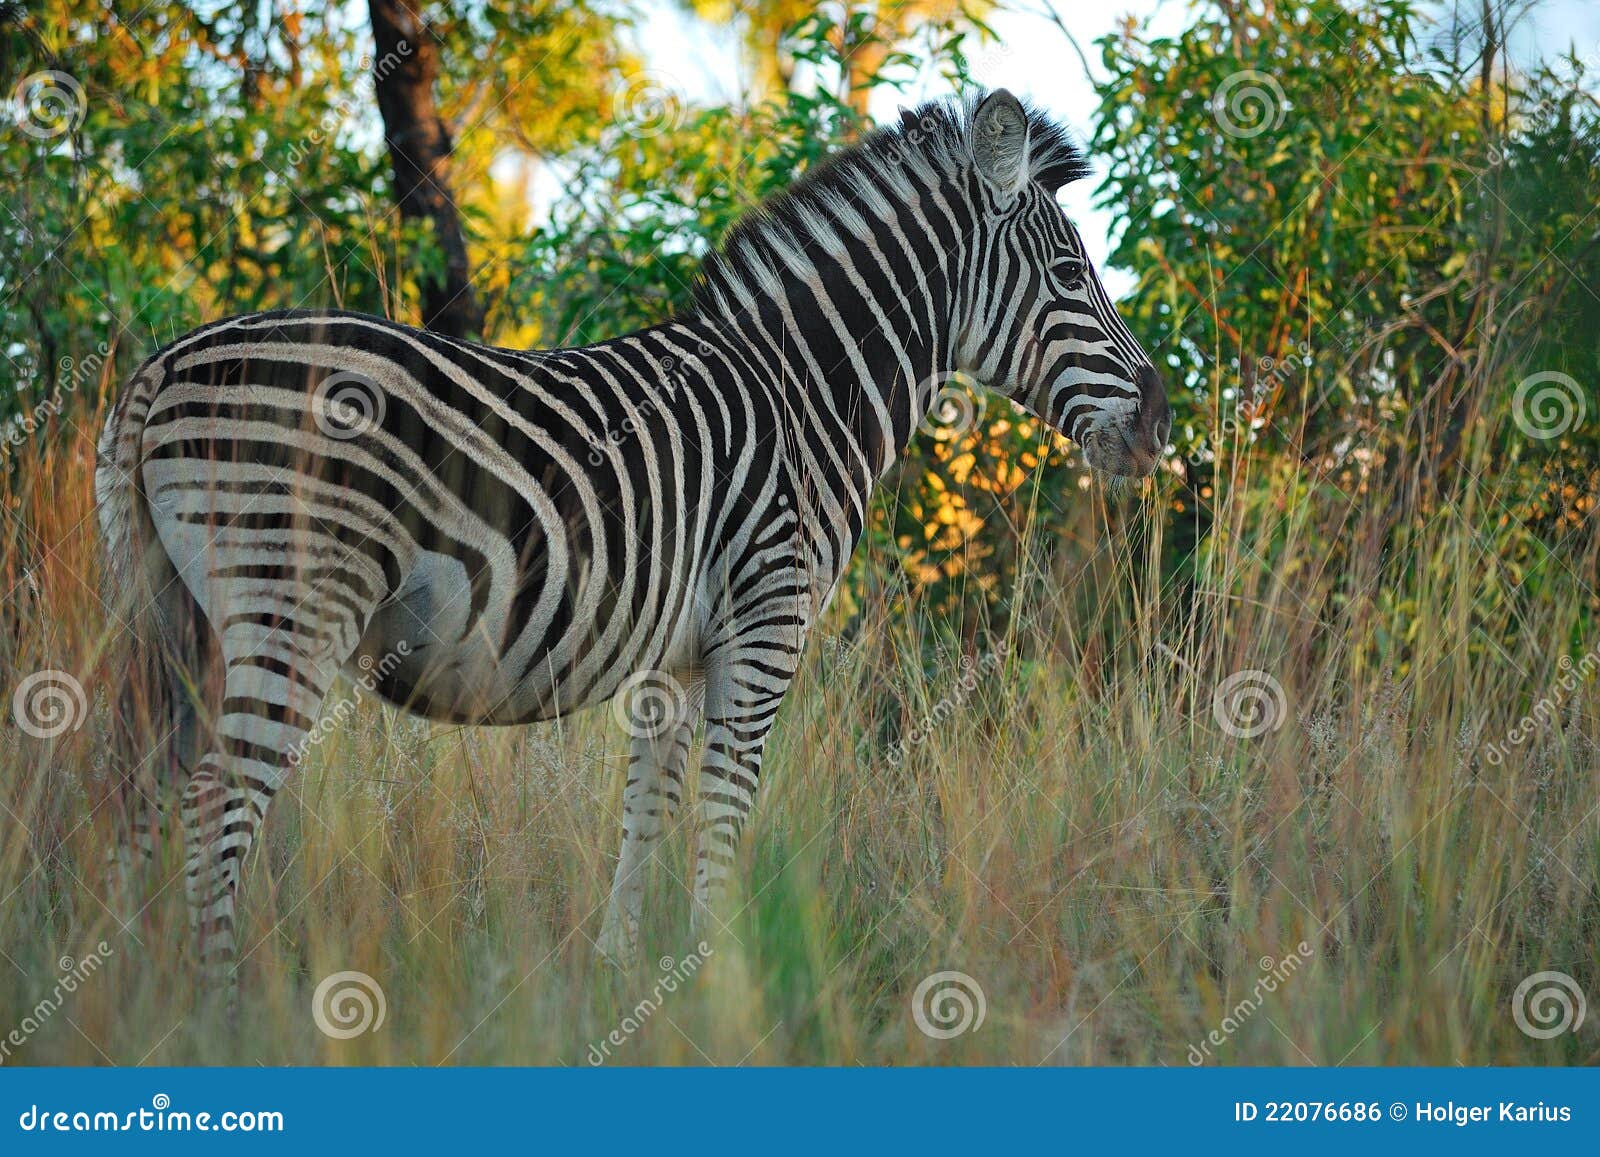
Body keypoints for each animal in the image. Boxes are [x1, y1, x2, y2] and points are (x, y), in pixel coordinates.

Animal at [95, 89, 1170, 979]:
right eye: (1070, 272)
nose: (1161, 421)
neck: (802, 395)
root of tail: (160, 366)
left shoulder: (675, 656)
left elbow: (645, 812)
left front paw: (628, 974)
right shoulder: (765, 628)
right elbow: (723, 810)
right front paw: (717, 974)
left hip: (175, 616)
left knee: (142, 793)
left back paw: (120, 993)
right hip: (292, 603)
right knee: (214, 801)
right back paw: (219, 1002)